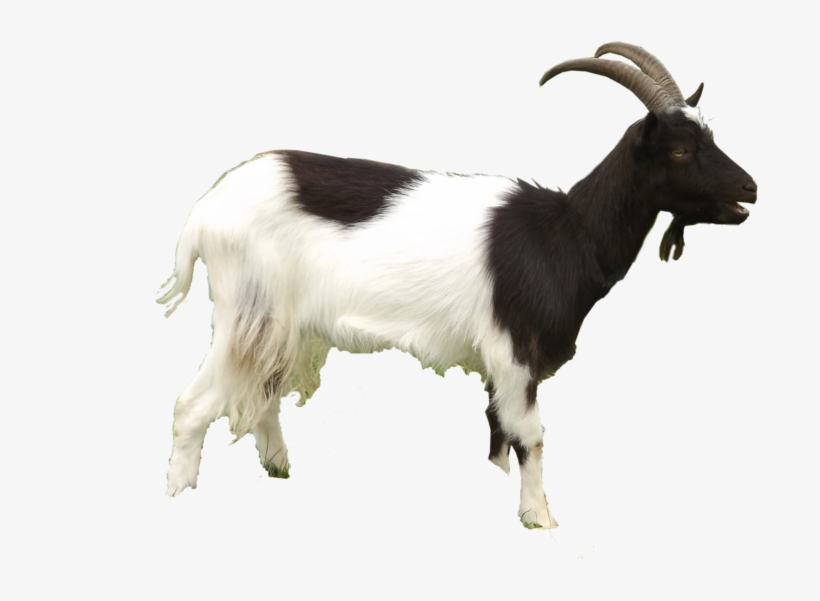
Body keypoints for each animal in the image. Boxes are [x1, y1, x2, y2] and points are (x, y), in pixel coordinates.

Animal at [158, 42, 756, 529]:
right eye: (679, 150)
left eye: (708, 136)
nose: (750, 188)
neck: (566, 233)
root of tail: (204, 212)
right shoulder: (514, 350)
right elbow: (530, 436)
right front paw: (539, 519)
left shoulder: (499, 363)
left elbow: (497, 433)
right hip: (249, 310)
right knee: (194, 405)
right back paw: (180, 495)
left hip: (284, 327)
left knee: (263, 400)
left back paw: (280, 469)